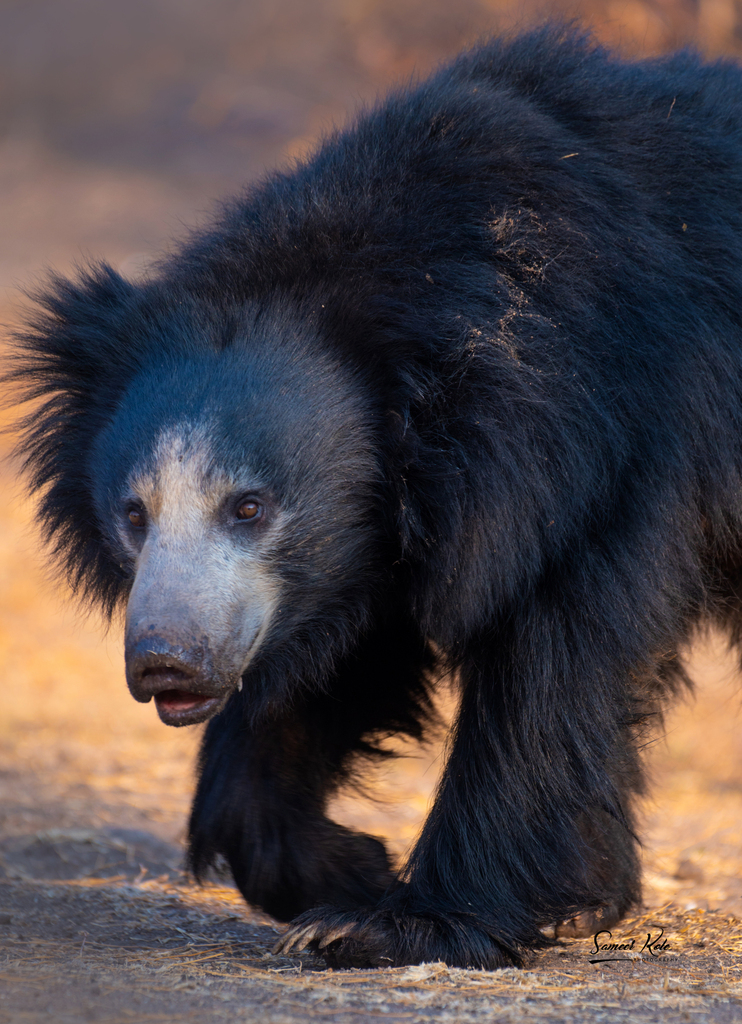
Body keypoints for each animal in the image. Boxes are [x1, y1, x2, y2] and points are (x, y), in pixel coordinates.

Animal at [9, 25, 742, 969]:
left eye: (250, 506)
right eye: (134, 515)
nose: (166, 664)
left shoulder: (617, 451)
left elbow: (557, 666)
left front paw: (396, 922)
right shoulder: (366, 546)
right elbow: (331, 671)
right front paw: (344, 870)